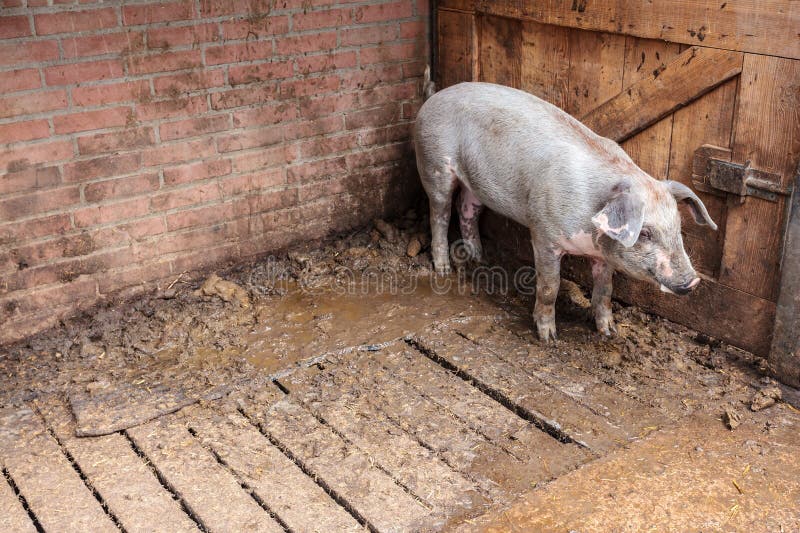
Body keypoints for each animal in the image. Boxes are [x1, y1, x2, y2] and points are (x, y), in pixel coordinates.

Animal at [413, 75, 717, 341]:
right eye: (644, 233)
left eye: (678, 227)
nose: (693, 282)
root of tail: (434, 97)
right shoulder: (544, 234)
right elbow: (550, 286)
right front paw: (548, 337)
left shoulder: (603, 255)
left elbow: (605, 290)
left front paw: (609, 332)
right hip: (433, 164)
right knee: (439, 213)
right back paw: (444, 269)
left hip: (475, 184)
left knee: (467, 208)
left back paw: (480, 259)